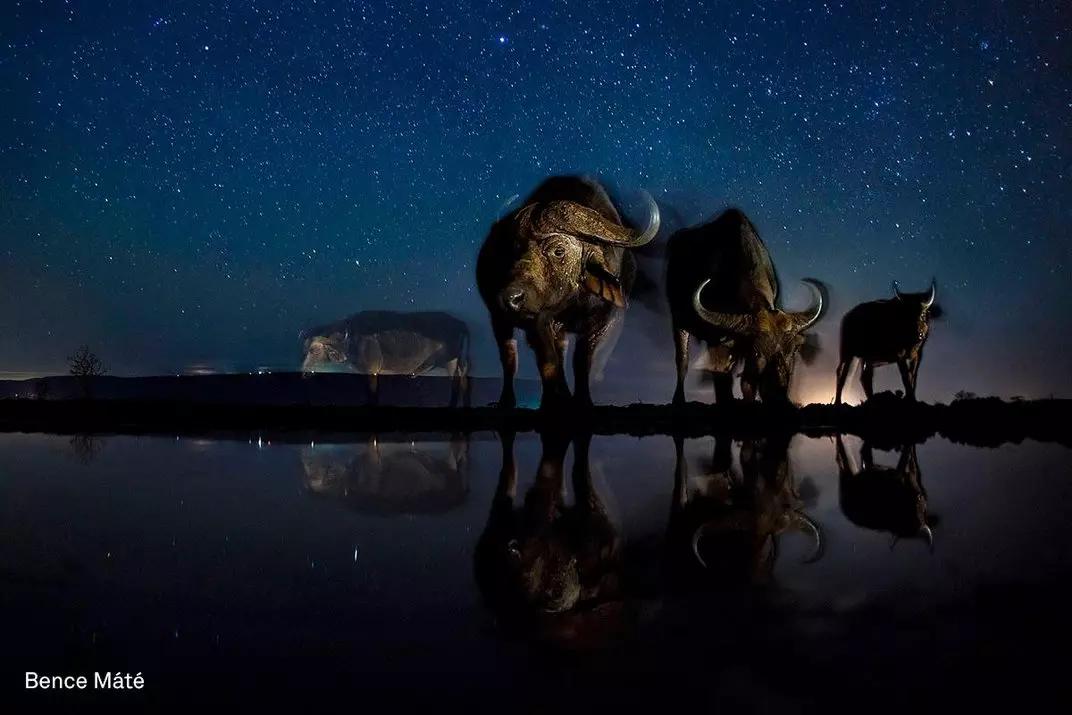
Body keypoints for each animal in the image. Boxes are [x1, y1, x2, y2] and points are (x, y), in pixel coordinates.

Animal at [300, 308, 471, 405]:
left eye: (315, 351)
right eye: (305, 350)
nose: (303, 372)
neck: (352, 342)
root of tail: (461, 324)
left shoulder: (372, 372)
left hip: (451, 361)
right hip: (457, 364)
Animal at [473, 174, 656, 407]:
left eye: (558, 250)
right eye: (514, 249)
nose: (509, 298)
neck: (573, 303)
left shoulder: (603, 323)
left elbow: (581, 362)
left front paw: (582, 400)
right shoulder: (538, 323)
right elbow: (549, 362)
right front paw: (551, 402)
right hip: (499, 319)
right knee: (509, 357)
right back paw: (508, 400)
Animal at [664, 210, 823, 405]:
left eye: (792, 352)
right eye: (756, 353)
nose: (778, 397)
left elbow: (744, 382)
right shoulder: (717, 339)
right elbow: (726, 374)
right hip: (678, 322)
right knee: (683, 361)